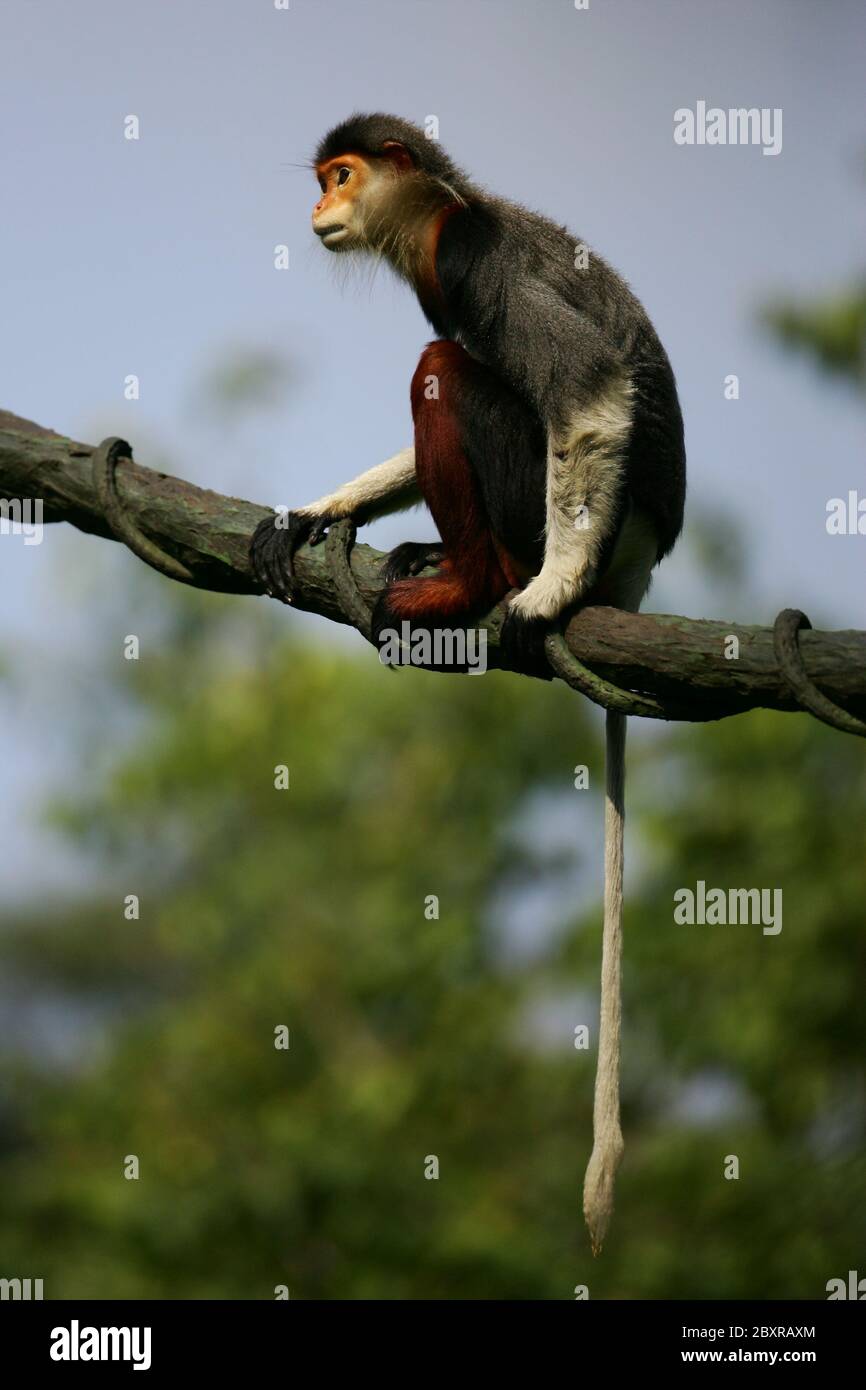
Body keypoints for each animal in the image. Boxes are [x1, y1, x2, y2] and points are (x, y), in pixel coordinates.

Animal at [250, 113, 686, 1249]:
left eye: (341, 176)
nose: (318, 207)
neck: (440, 215)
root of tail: (640, 565)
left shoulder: (467, 264)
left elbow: (586, 391)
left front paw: (541, 597)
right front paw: (322, 510)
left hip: (539, 502)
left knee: (447, 366)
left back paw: (479, 583)